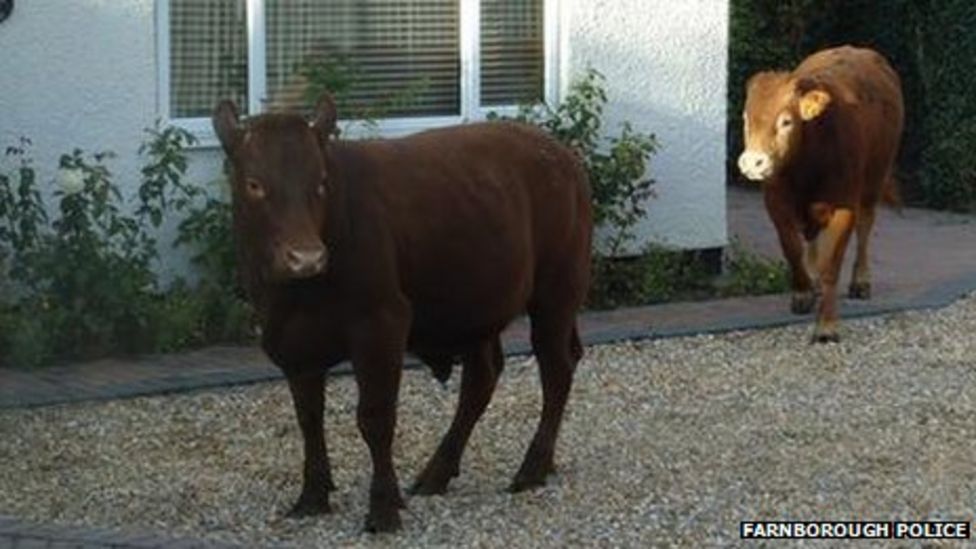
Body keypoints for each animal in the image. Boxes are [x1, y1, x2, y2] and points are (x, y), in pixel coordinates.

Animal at [211, 94, 592, 532]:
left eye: (320, 183)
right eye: (254, 184)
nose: (306, 257)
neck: (298, 298)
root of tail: (559, 153)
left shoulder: (381, 324)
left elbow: (375, 417)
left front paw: (382, 508)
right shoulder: (291, 342)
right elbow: (309, 418)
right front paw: (312, 496)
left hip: (556, 293)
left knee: (555, 369)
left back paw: (532, 467)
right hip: (477, 303)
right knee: (482, 378)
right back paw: (437, 473)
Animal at [738, 45, 904, 343]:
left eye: (786, 121)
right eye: (745, 118)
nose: (753, 162)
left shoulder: (844, 206)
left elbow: (831, 264)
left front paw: (826, 326)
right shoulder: (776, 202)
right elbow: (792, 250)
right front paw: (803, 293)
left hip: (874, 179)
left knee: (865, 227)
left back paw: (861, 281)